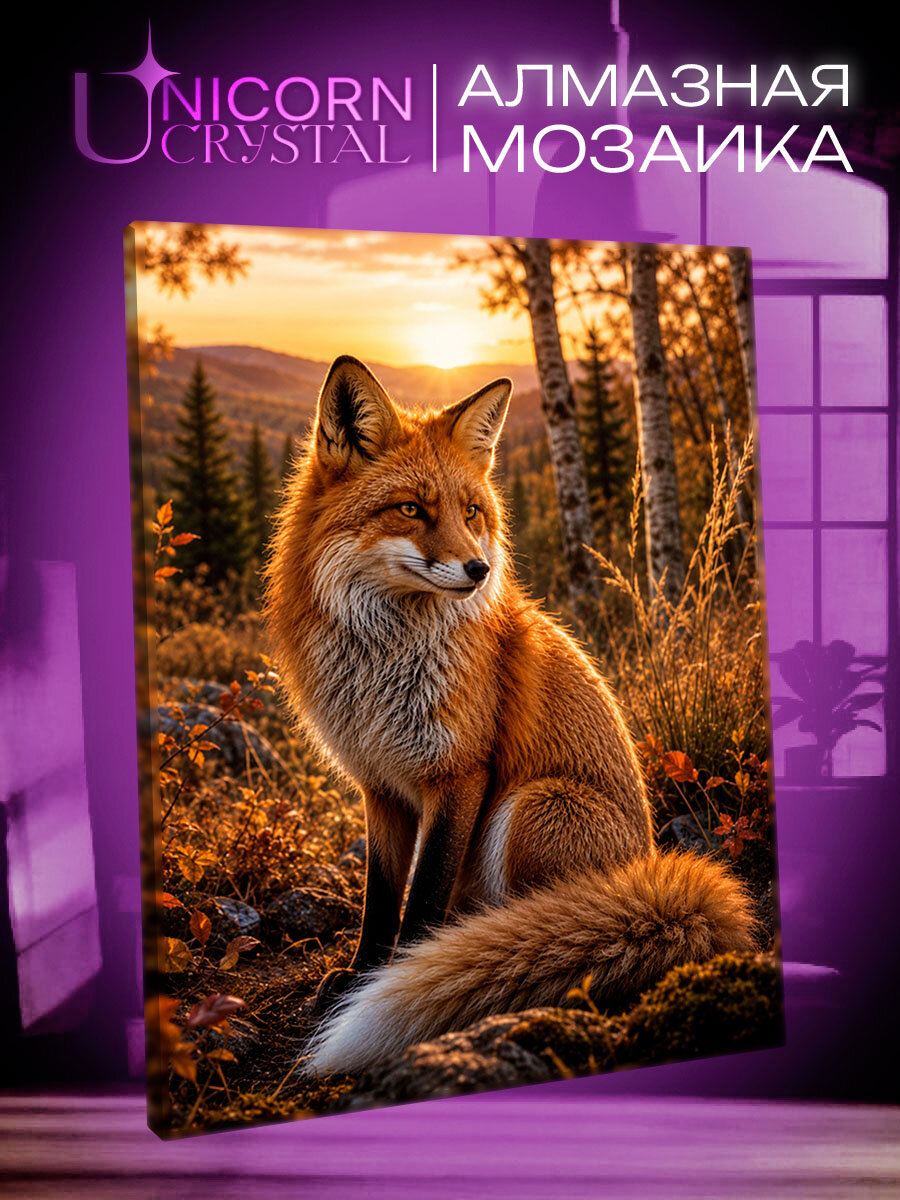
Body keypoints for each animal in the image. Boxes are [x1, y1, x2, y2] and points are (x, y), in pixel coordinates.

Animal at [264, 354, 754, 1077]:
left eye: (471, 512)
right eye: (411, 509)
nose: (477, 568)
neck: (382, 665)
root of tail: (648, 875)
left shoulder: (459, 775)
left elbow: (421, 897)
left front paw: (399, 974)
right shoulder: (379, 784)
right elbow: (380, 899)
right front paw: (360, 975)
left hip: (533, 805)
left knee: (540, 928)